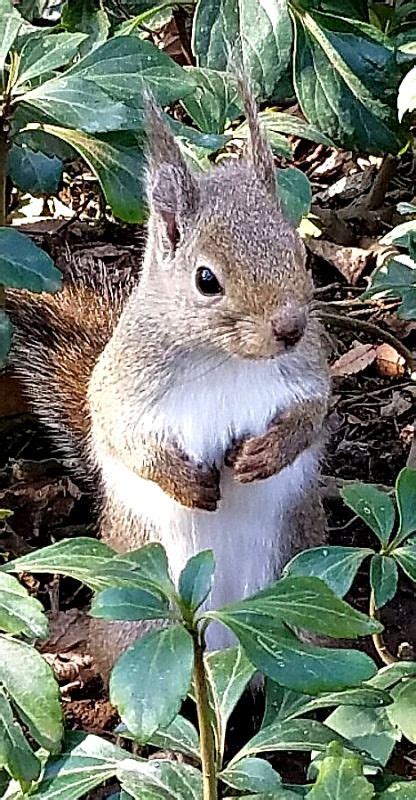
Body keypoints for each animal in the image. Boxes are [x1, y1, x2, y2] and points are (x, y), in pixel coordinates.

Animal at [6, 84, 330, 678]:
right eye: (206, 280)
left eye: (301, 255)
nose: (290, 328)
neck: (222, 359)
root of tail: (218, 642)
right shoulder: (123, 384)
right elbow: (121, 437)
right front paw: (182, 480)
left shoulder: (306, 373)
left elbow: (312, 414)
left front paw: (266, 453)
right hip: (138, 622)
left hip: (306, 595)